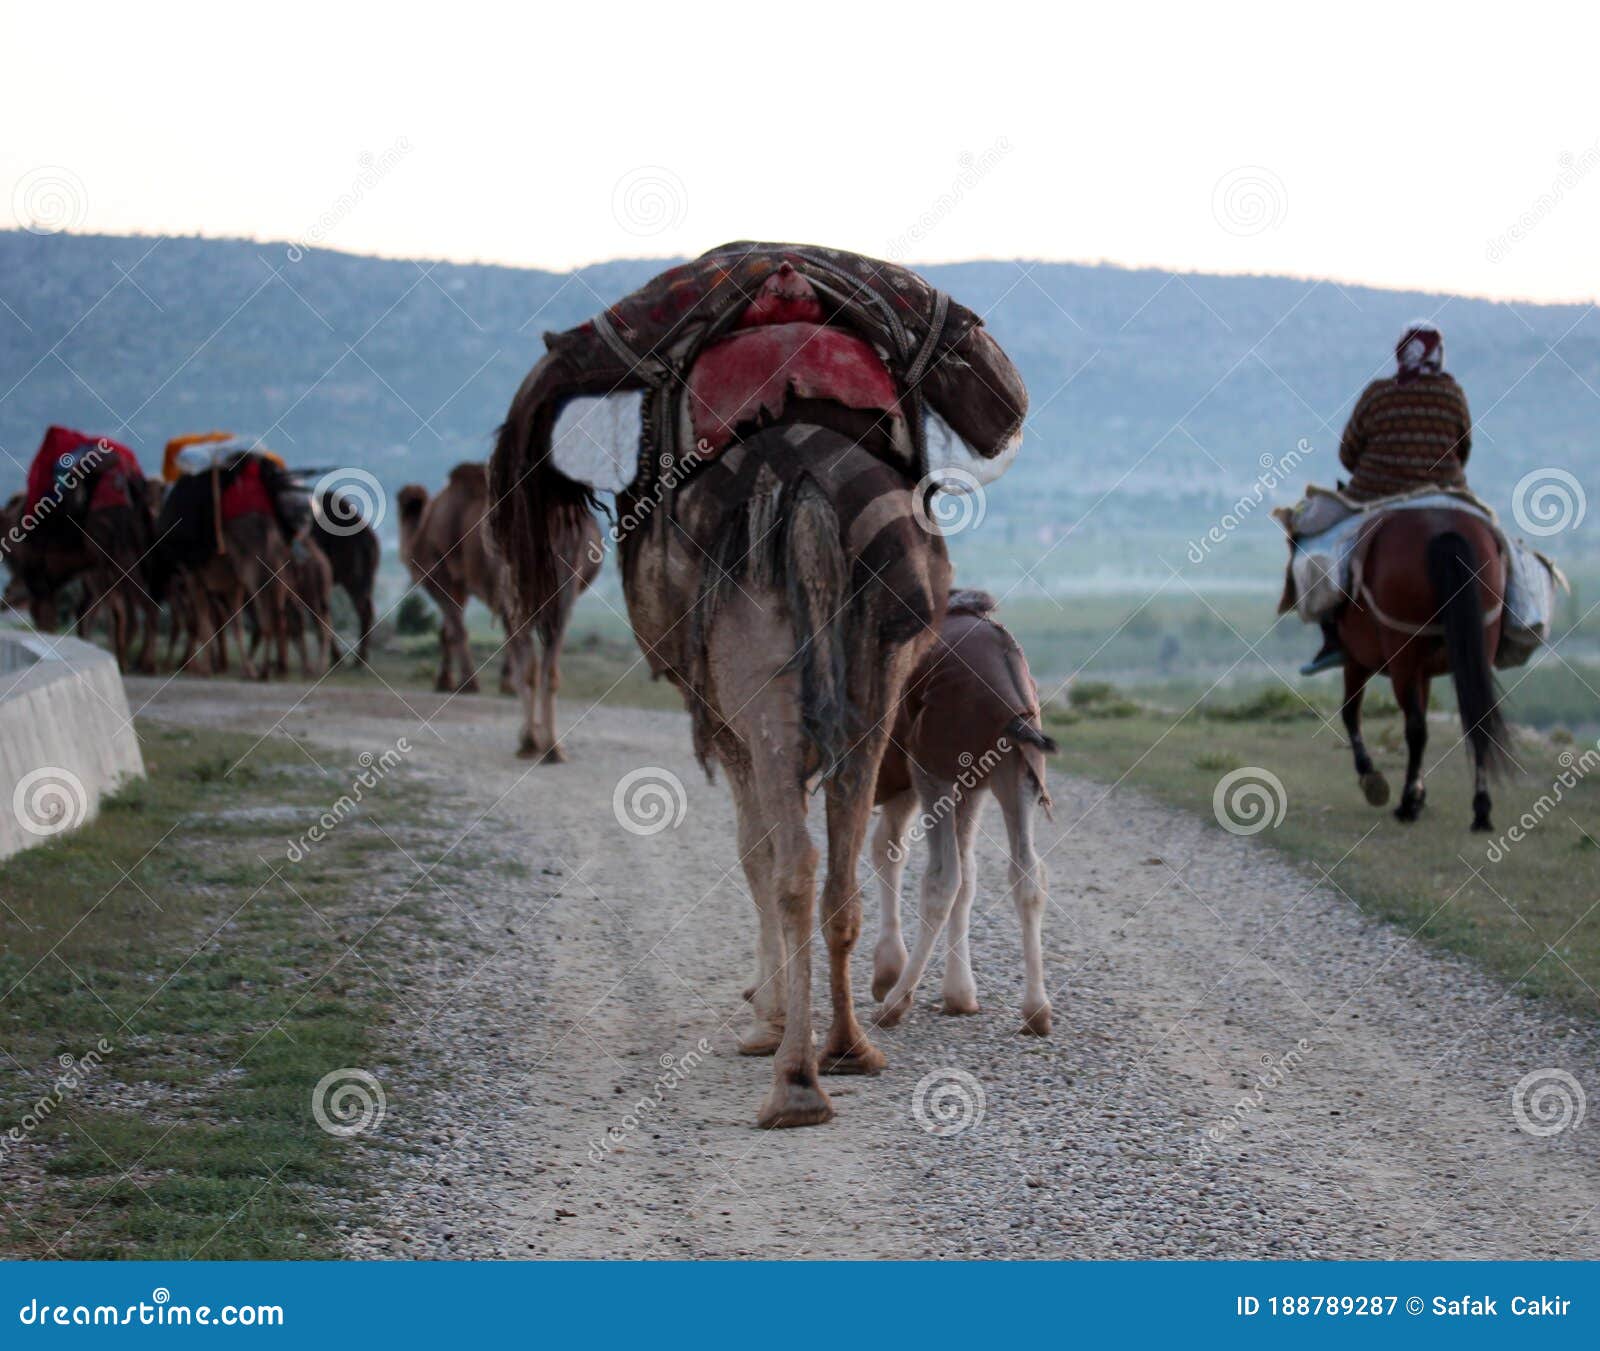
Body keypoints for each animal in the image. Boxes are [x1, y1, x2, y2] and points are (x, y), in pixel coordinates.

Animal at [1337, 507, 1510, 831]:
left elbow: (1350, 712)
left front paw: (1372, 777)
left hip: (1401, 650)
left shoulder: (1356, 658)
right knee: (1478, 720)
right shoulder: (1423, 672)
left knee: (1415, 727)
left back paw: (1406, 805)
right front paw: (1419, 791)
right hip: (1483, 634)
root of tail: (1441, 527)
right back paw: (1481, 810)